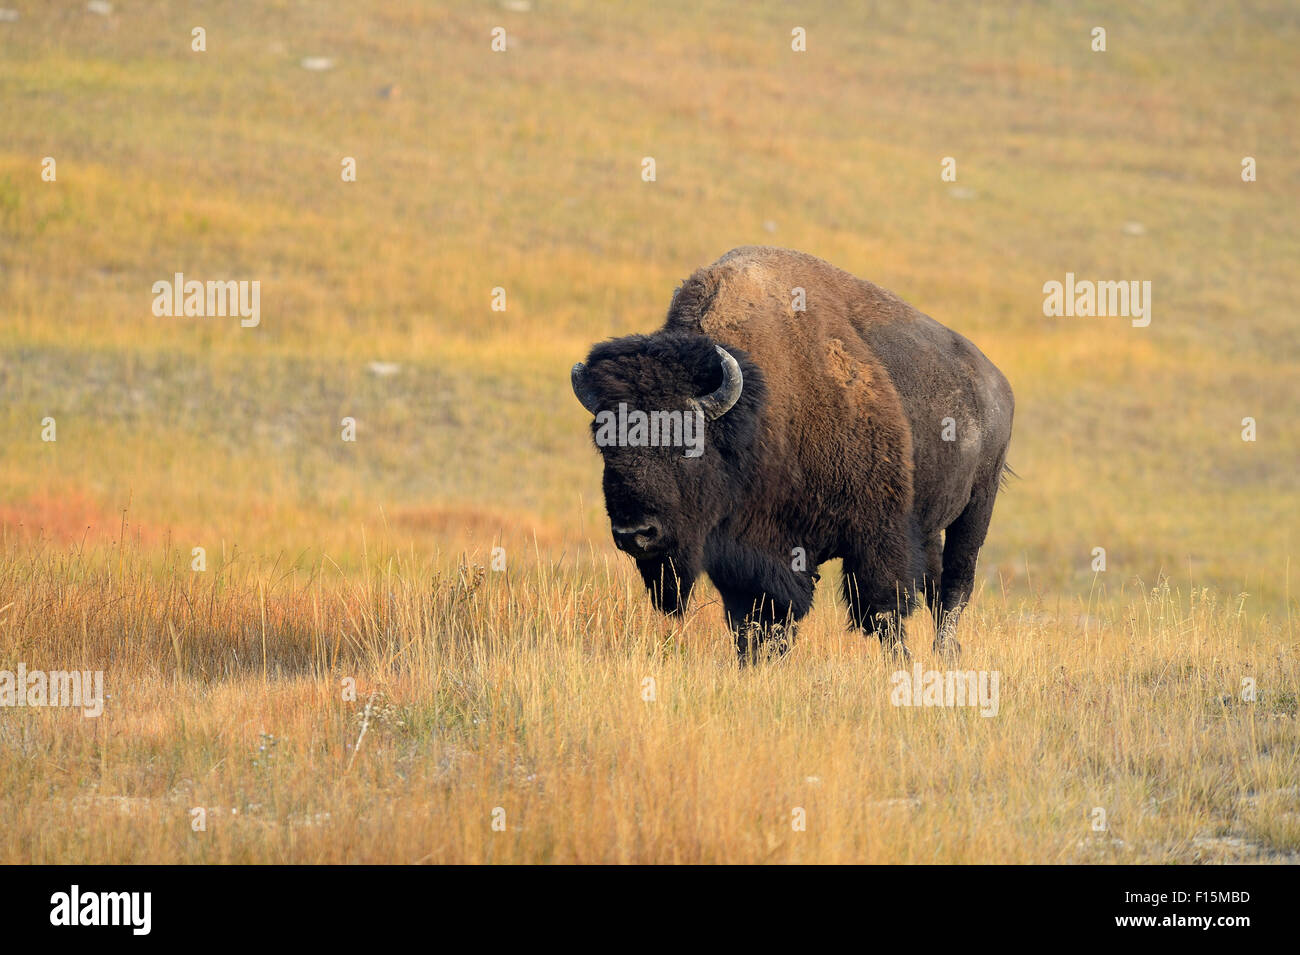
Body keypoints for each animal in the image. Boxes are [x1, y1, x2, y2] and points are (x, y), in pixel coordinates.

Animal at [570, 247, 1014, 663]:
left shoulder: (876, 534)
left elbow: (883, 611)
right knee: (937, 585)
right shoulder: (744, 557)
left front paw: (900, 662)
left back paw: (944, 650)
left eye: (687, 445)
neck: (756, 411)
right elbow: (755, 623)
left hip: (977, 506)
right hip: (931, 523)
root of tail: (994, 381)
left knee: (954, 586)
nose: (636, 533)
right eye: (605, 445)